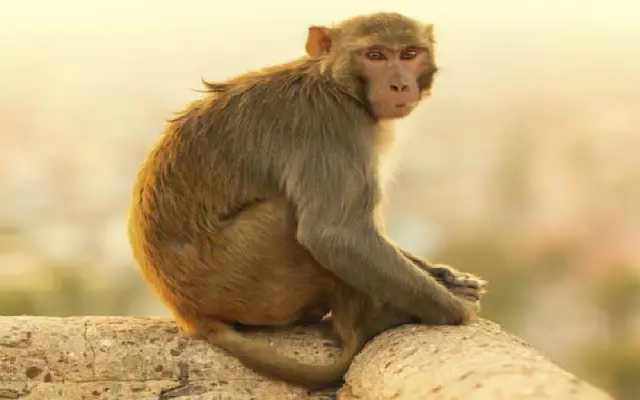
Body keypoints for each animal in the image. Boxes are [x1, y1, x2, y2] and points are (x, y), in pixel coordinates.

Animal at [127, 12, 487, 390]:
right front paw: (457, 311)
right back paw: (369, 320)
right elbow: (335, 234)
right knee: (289, 218)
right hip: (247, 280)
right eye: (375, 56)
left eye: (409, 54)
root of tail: (189, 314)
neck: (338, 86)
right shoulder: (331, 128)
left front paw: (444, 275)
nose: (399, 85)